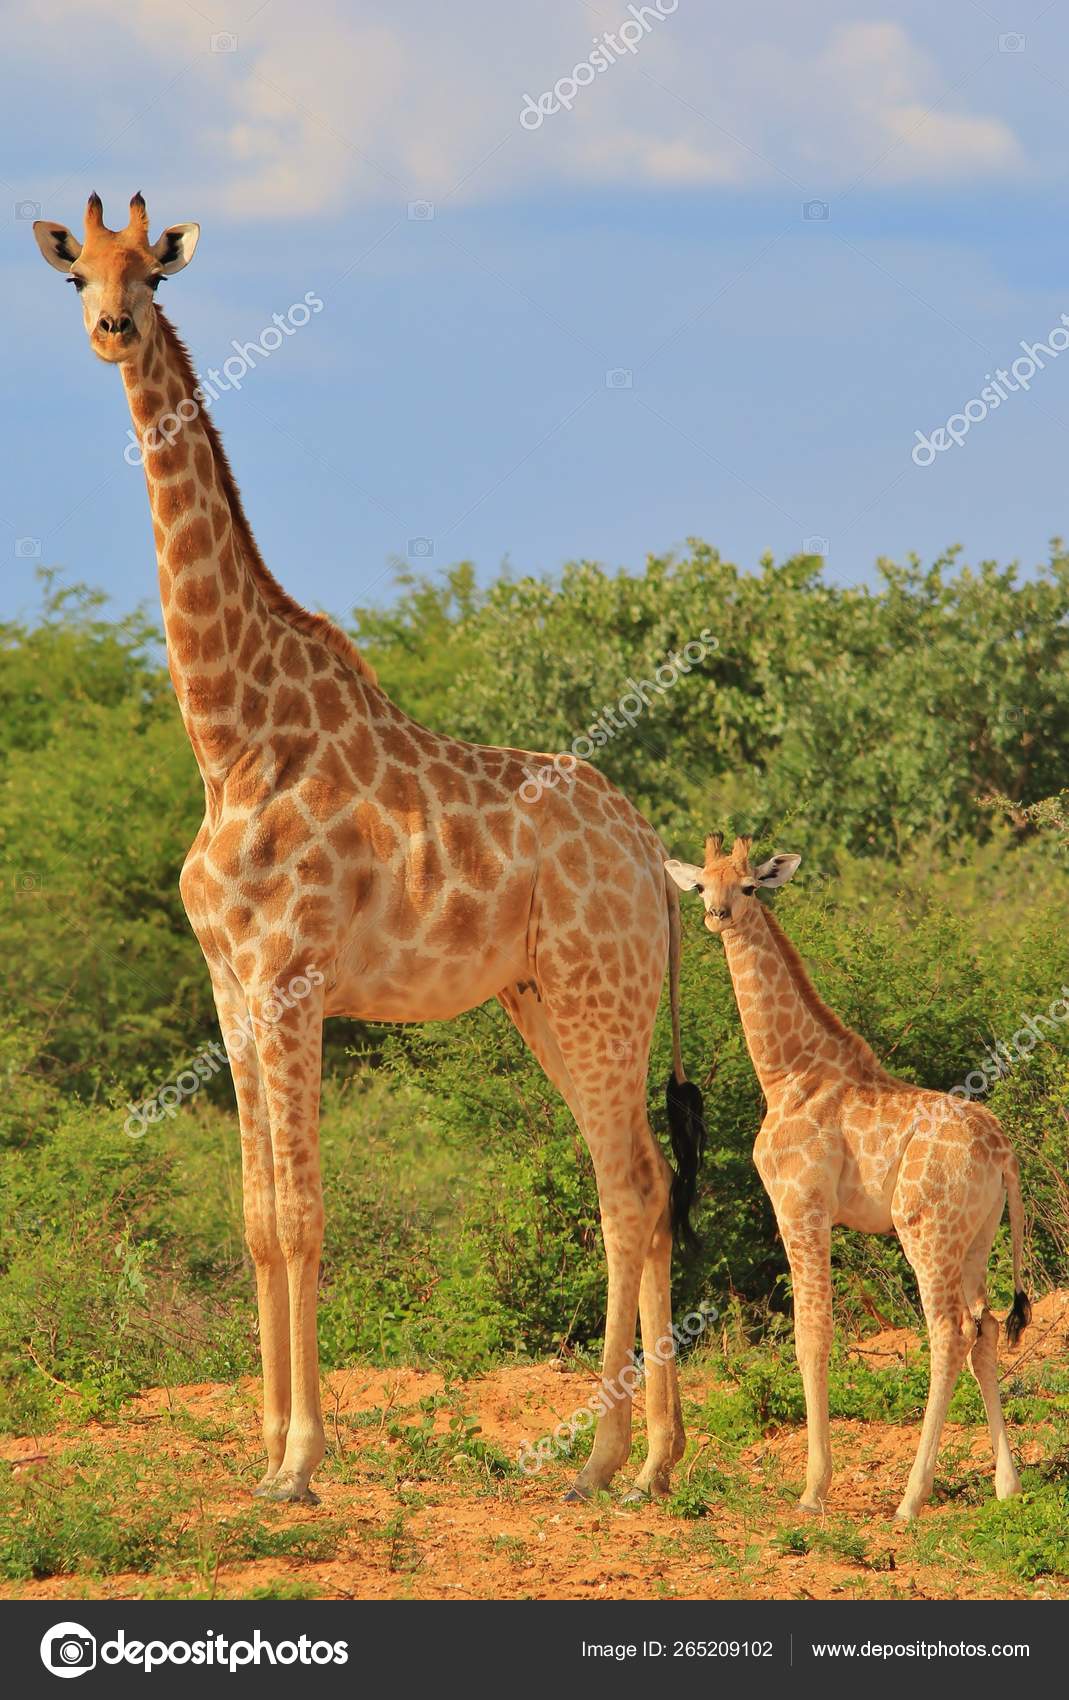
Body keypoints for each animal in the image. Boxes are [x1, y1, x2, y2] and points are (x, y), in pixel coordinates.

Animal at [34, 194, 709, 1506]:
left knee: (627, 1183)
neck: (228, 738)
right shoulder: (230, 985)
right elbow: (255, 1213)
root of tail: (654, 859)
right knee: (641, 1178)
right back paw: (649, 1460)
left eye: (152, 271)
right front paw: (261, 1450)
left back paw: (605, 1458)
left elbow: (305, 1211)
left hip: (600, 994)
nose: (110, 330)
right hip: (546, 998)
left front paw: (303, 1459)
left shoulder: (293, 978)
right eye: (77, 270)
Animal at [665, 833, 1031, 1522]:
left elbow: (812, 1332)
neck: (786, 1073)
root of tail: (1003, 1152)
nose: (718, 915)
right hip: (976, 1237)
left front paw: (813, 1489)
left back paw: (912, 1499)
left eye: (749, 886)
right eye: (701, 884)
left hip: (926, 1231)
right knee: (987, 1328)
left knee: (947, 1334)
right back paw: (1007, 1486)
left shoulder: (800, 1205)